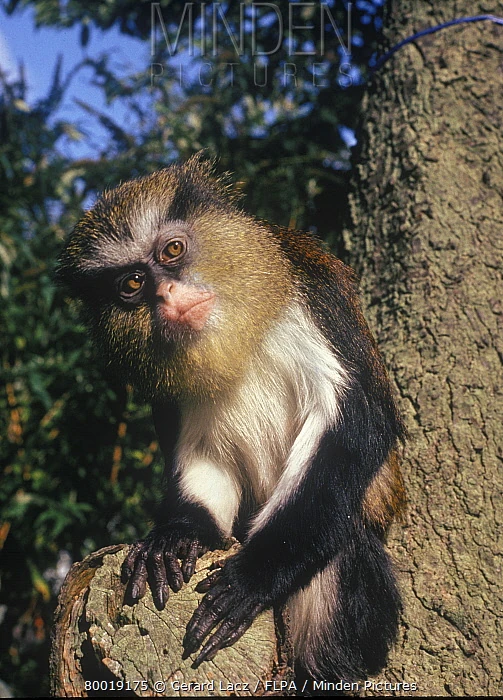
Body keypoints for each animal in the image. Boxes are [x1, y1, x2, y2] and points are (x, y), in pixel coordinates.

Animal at [57, 153, 406, 681]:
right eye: (132, 284)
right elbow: (204, 458)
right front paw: (176, 537)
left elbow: (354, 426)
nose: (169, 295)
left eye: (173, 250)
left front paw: (253, 576)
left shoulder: (315, 301)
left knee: (343, 552)